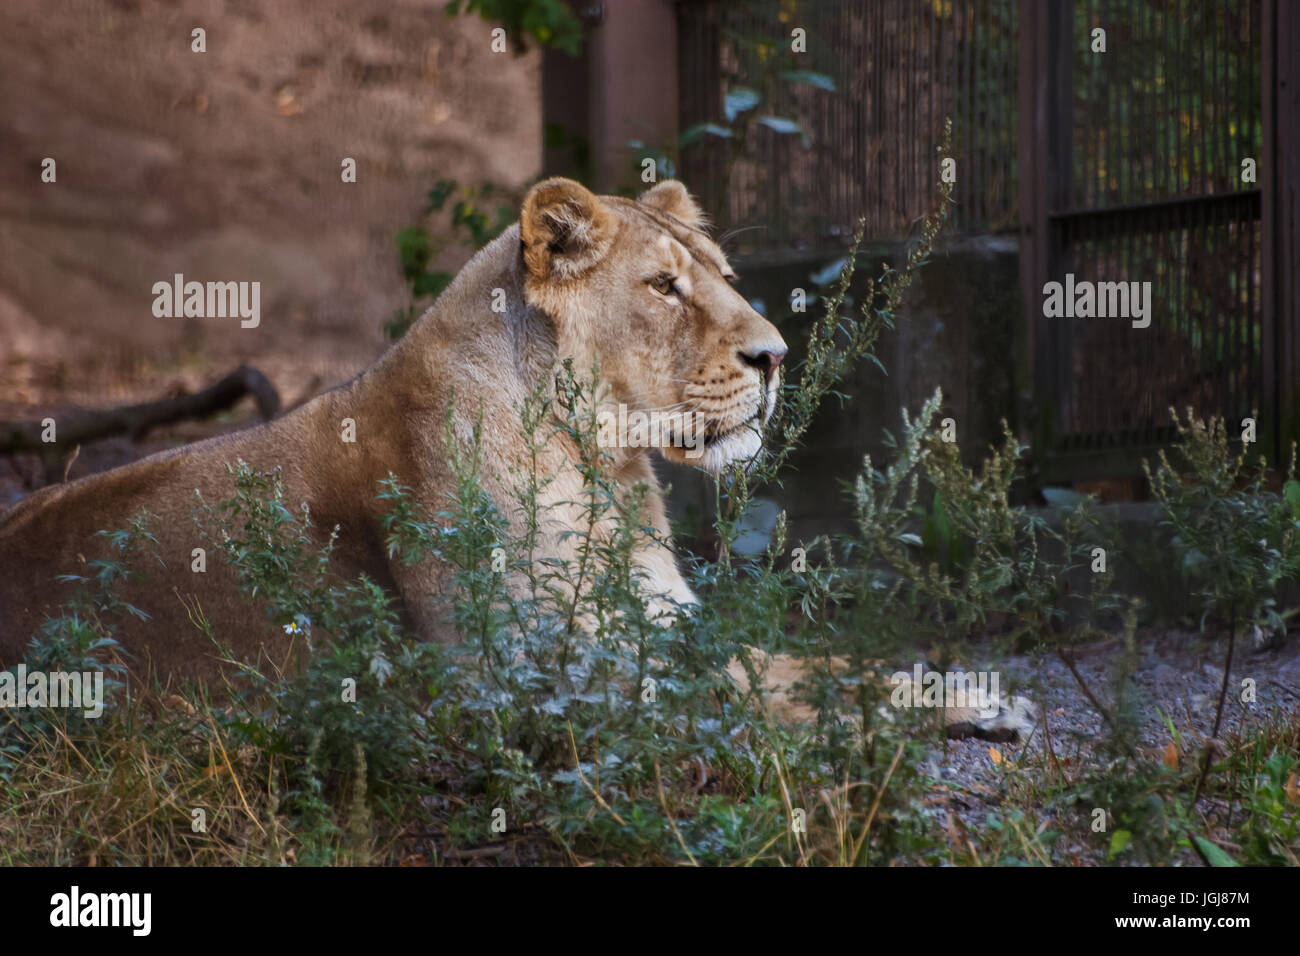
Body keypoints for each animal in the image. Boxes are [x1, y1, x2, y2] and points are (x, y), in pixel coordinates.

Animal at [0, 177, 1033, 741]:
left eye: (727, 280)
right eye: (664, 287)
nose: (777, 356)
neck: (607, 470)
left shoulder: (660, 632)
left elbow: (789, 660)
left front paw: (960, 685)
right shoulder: (545, 676)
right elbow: (780, 687)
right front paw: (953, 695)